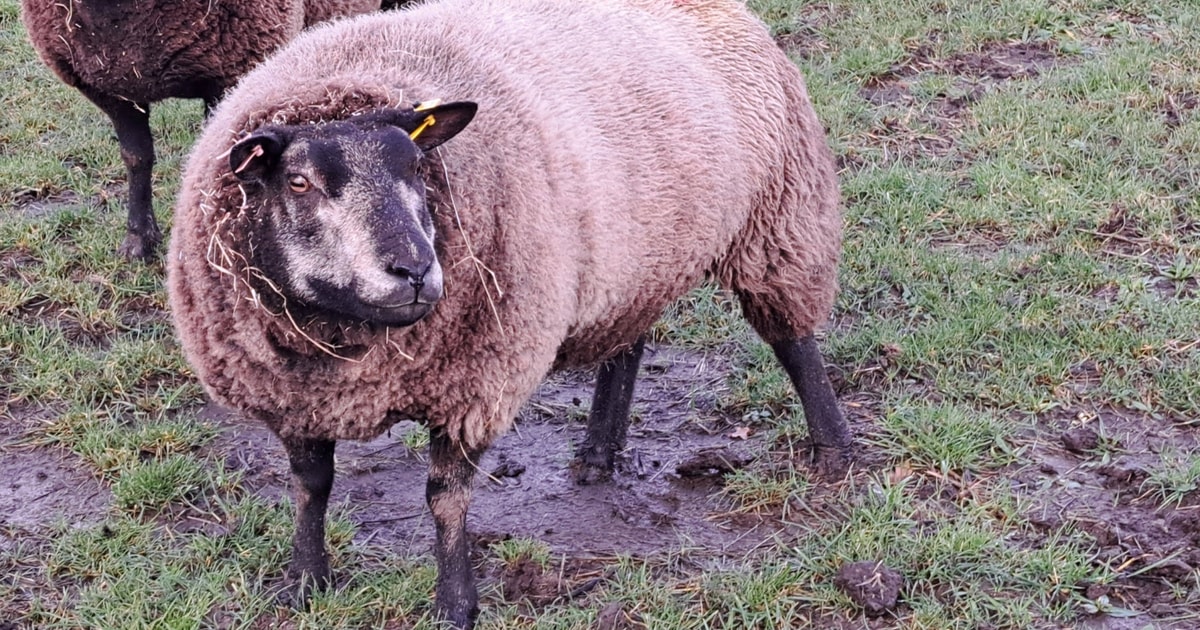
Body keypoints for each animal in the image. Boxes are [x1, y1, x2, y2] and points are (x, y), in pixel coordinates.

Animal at [167, 0, 849, 626]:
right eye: (299, 182)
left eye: (419, 166)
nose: (414, 271)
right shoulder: (293, 392)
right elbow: (311, 486)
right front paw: (305, 583)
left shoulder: (475, 383)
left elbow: (445, 499)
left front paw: (455, 606)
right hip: (634, 259)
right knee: (627, 343)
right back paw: (598, 453)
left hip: (777, 215)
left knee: (792, 338)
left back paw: (834, 452)